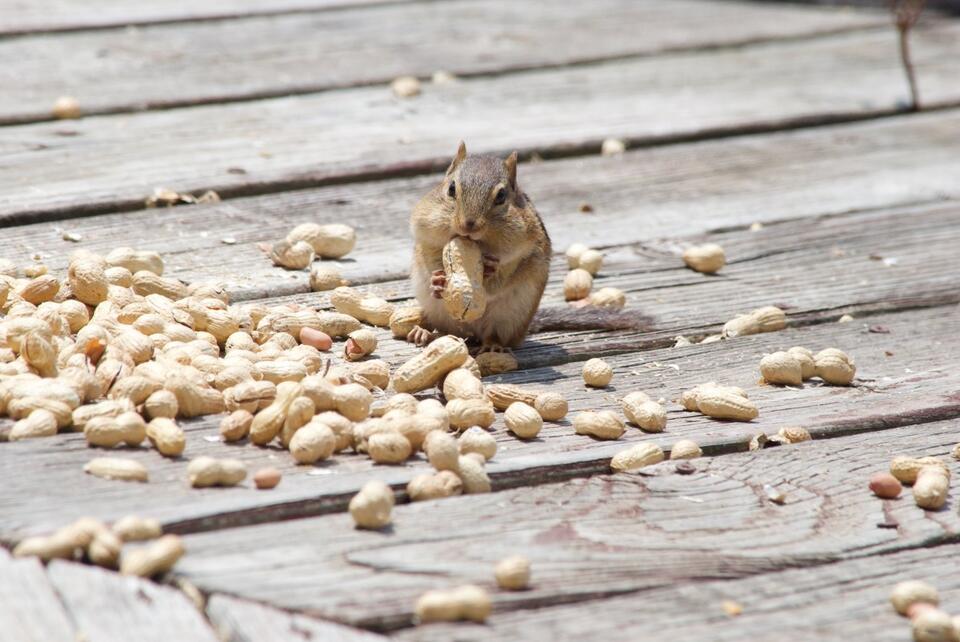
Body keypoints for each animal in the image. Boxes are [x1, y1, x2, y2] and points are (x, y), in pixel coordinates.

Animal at [408, 141, 552, 352]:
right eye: (451, 188)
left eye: (501, 196)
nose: (468, 225)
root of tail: (470, 329)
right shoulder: (426, 238)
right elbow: (430, 260)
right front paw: (437, 280)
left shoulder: (523, 250)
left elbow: (504, 275)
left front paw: (491, 268)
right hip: (436, 310)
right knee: (445, 329)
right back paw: (424, 332)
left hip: (510, 317)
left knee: (493, 334)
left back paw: (493, 346)